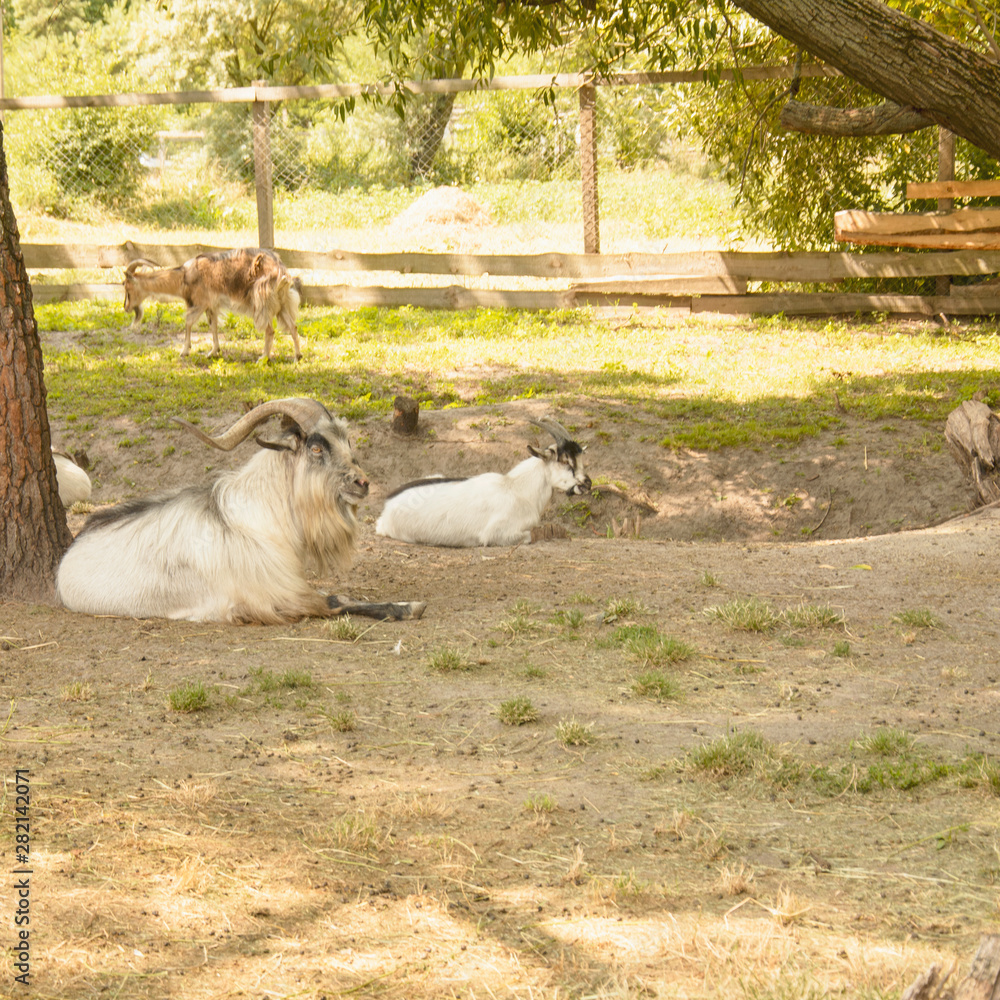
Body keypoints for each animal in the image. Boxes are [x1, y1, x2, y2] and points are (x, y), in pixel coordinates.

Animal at [56, 398, 425, 624]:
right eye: (317, 447)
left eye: (346, 441)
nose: (362, 482)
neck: (263, 519)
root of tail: (66, 563)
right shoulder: (276, 597)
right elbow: (337, 599)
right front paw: (409, 607)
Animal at [123, 248, 303, 362]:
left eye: (126, 285)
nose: (125, 307)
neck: (184, 277)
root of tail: (281, 271)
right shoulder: (211, 306)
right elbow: (213, 326)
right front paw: (213, 352)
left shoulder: (199, 303)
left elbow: (188, 323)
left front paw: (184, 351)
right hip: (282, 304)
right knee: (293, 327)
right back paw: (297, 357)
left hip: (262, 303)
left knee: (270, 330)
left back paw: (263, 358)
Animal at [375, 418, 591, 547]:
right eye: (565, 461)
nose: (587, 483)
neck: (516, 489)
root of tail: (386, 510)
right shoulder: (496, 534)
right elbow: (531, 536)